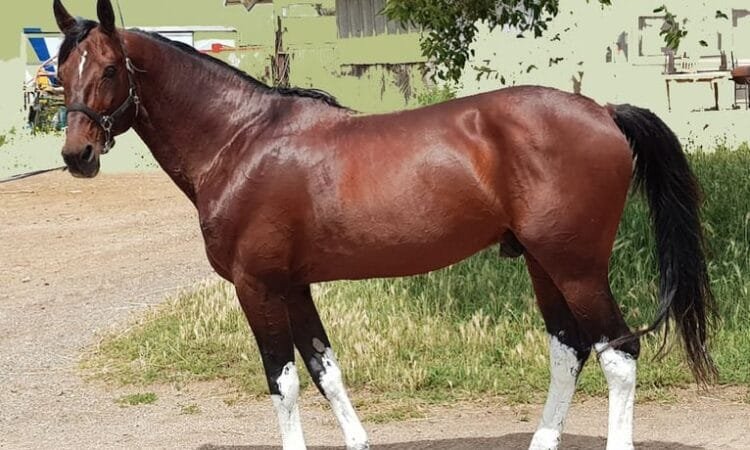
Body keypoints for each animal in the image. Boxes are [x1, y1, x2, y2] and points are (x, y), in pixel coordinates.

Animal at [52, 1, 716, 449]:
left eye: (109, 69)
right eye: (62, 71)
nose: (76, 156)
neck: (242, 141)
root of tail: (602, 109)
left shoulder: (256, 286)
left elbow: (282, 380)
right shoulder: (293, 286)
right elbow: (324, 370)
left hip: (576, 266)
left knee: (619, 352)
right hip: (542, 264)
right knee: (569, 349)